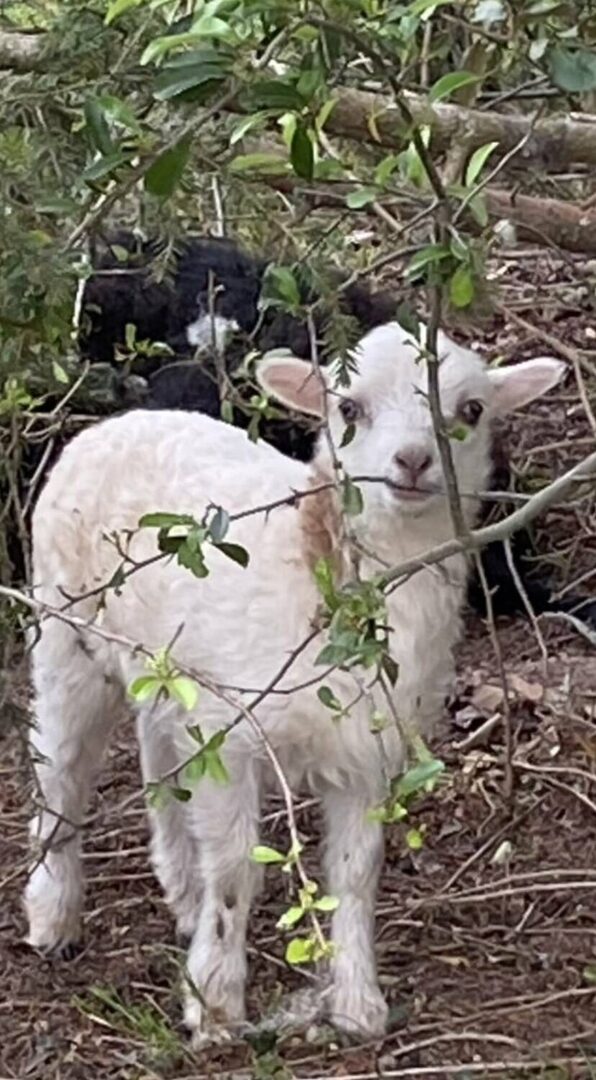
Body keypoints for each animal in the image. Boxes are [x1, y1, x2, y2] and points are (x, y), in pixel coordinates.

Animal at [23, 319, 561, 1036]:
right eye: (348, 408)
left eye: (471, 411)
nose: (412, 462)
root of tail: (115, 423)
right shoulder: (231, 730)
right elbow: (235, 872)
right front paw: (216, 1004)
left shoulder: (367, 747)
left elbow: (356, 874)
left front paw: (359, 1003)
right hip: (66, 632)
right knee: (61, 771)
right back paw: (54, 915)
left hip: (166, 668)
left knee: (158, 758)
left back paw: (182, 894)